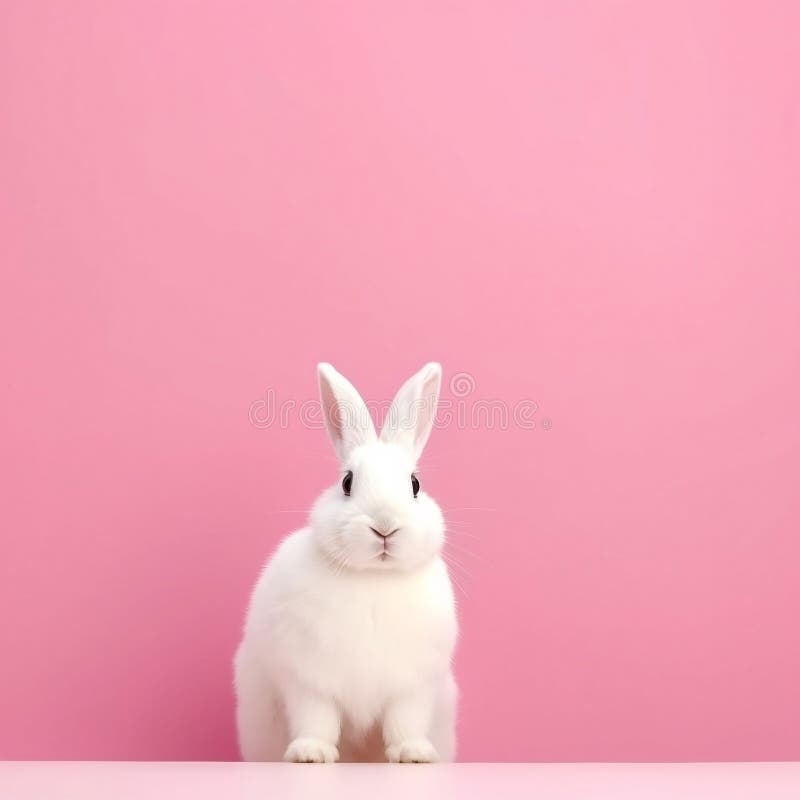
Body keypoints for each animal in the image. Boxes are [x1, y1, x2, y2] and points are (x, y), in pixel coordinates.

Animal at [234, 362, 458, 763]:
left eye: (415, 485)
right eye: (347, 482)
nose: (384, 526)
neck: (374, 576)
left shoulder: (413, 687)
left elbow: (405, 722)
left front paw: (414, 754)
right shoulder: (308, 680)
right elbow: (317, 719)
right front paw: (310, 754)